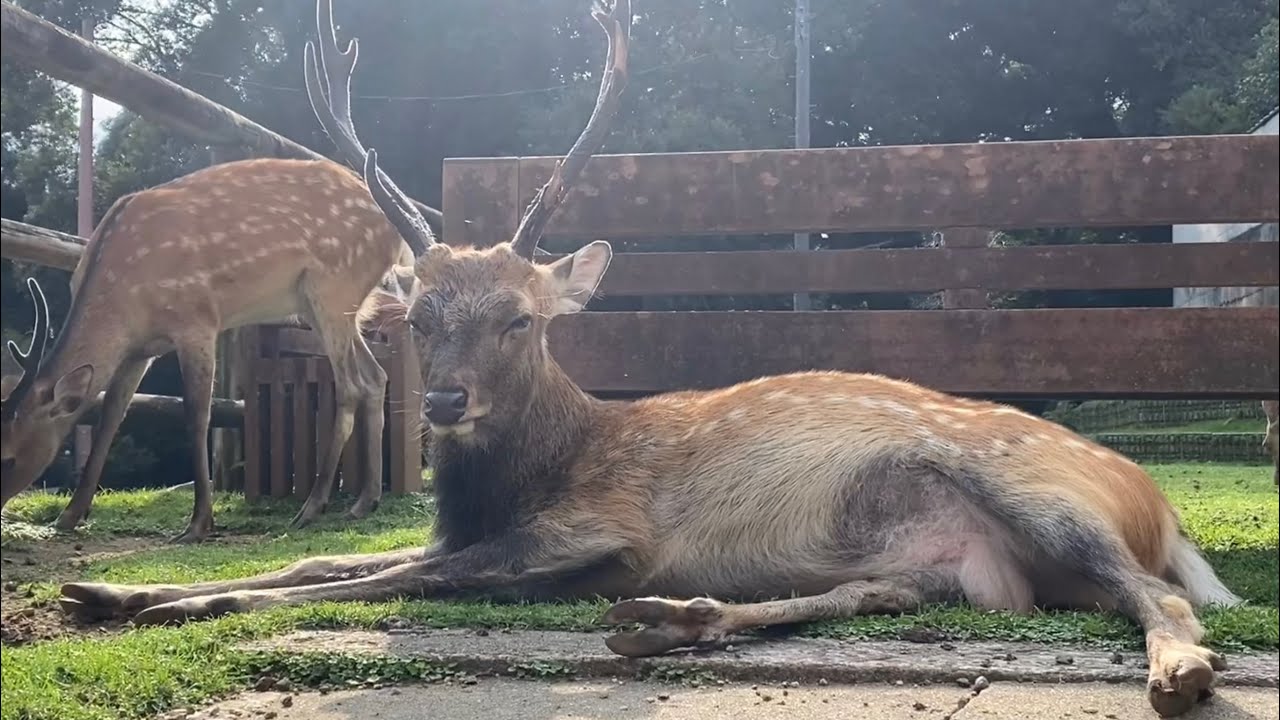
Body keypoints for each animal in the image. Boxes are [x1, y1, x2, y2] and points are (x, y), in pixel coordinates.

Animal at [0, 0, 447, 541]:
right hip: (329, 305)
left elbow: (197, 414)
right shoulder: (141, 347)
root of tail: (395, 234)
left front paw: (198, 523)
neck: (123, 294)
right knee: (376, 376)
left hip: (332, 288)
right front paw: (71, 515)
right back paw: (363, 501)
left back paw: (314, 505)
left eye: (9, 456)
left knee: (353, 382)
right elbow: (110, 414)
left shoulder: (196, 318)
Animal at [56, 0, 1244, 715]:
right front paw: (102, 590)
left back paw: (1181, 670)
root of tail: (1158, 504)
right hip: (948, 564)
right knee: (889, 593)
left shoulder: (599, 530)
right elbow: (319, 566)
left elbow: (399, 574)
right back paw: (666, 624)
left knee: (1161, 597)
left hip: (1040, 494)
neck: (525, 477)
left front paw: (167, 605)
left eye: (522, 319)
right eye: (423, 314)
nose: (444, 401)